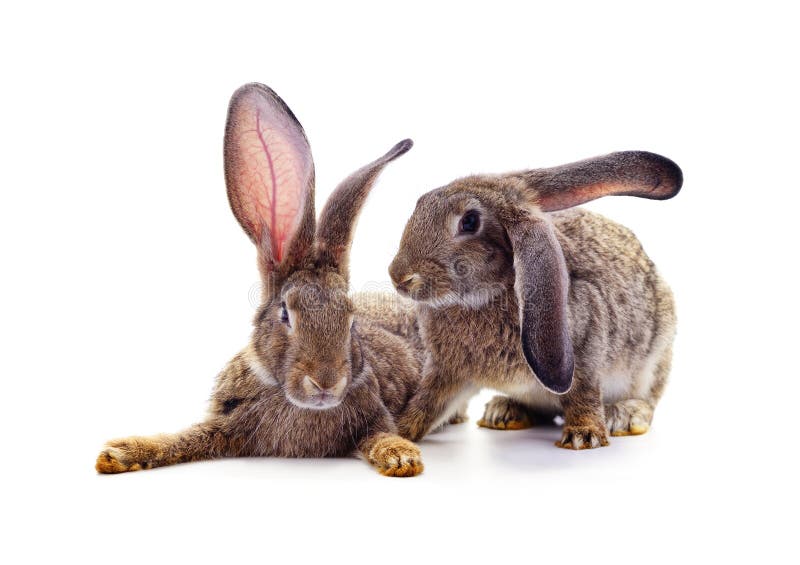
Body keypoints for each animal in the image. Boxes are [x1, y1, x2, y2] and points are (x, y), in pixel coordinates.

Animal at [95, 83, 424, 476]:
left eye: (351, 320)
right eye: (285, 314)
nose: (326, 382)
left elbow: (380, 435)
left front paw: (402, 457)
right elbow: (186, 439)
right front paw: (120, 452)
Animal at [388, 151, 682, 449]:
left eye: (469, 221)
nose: (398, 276)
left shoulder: (584, 354)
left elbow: (583, 392)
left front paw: (583, 435)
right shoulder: (448, 372)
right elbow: (428, 404)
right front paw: (400, 430)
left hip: (654, 359)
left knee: (648, 401)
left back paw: (624, 415)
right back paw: (503, 412)